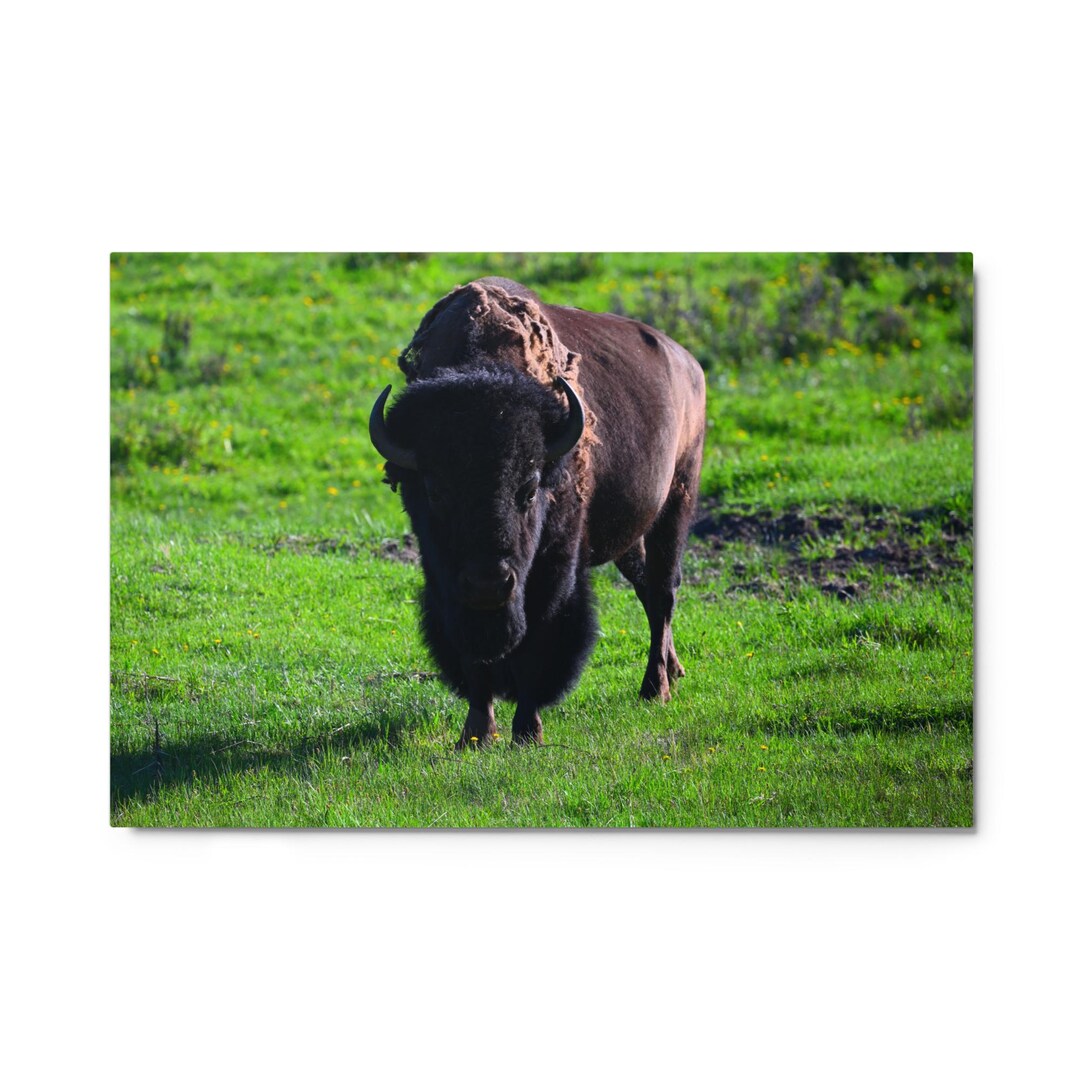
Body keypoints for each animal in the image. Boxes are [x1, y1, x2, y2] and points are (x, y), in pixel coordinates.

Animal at [369, 277, 706, 748]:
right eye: (435, 492)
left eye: (529, 489)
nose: (489, 585)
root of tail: (688, 363)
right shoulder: (446, 582)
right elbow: (472, 655)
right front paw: (476, 734)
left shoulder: (553, 570)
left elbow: (539, 642)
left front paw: (527, 732)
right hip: (630, 536)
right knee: (646, 588)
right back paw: (673, 671)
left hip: (677, 499)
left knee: (662, 592)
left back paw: (655, 688)